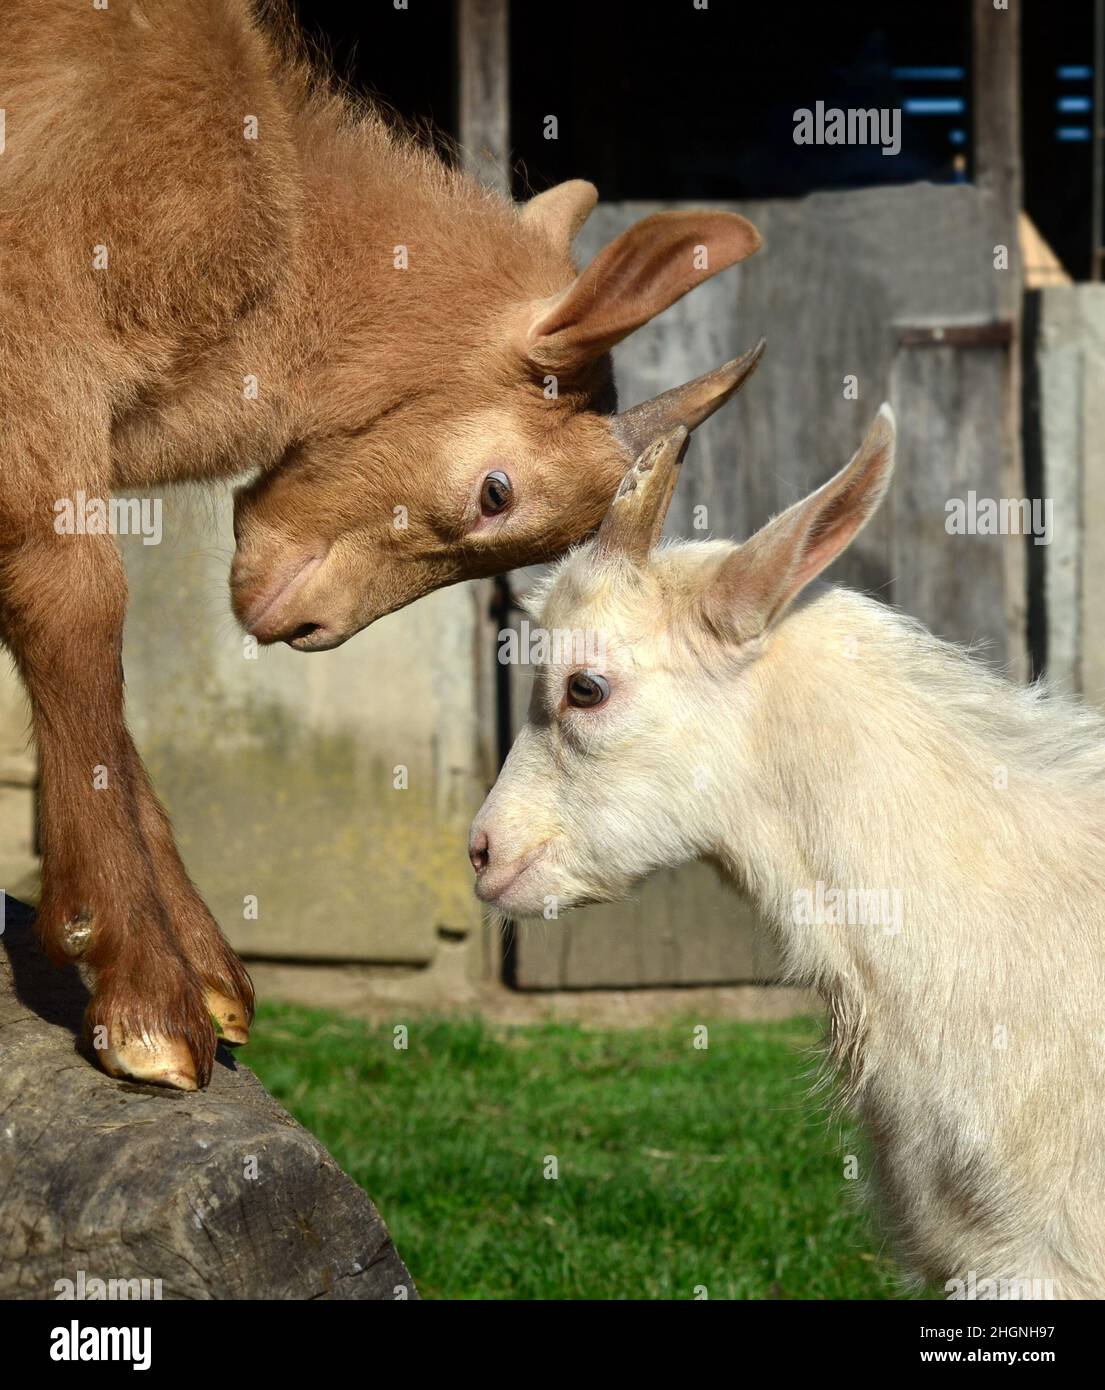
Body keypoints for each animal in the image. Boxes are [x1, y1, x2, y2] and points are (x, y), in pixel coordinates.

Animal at [0, 0, 763, 1088]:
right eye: (495, 492)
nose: (305, 624)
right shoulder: (35, 330)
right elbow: (79, 609)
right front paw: (143, 982)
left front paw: (203, 966)